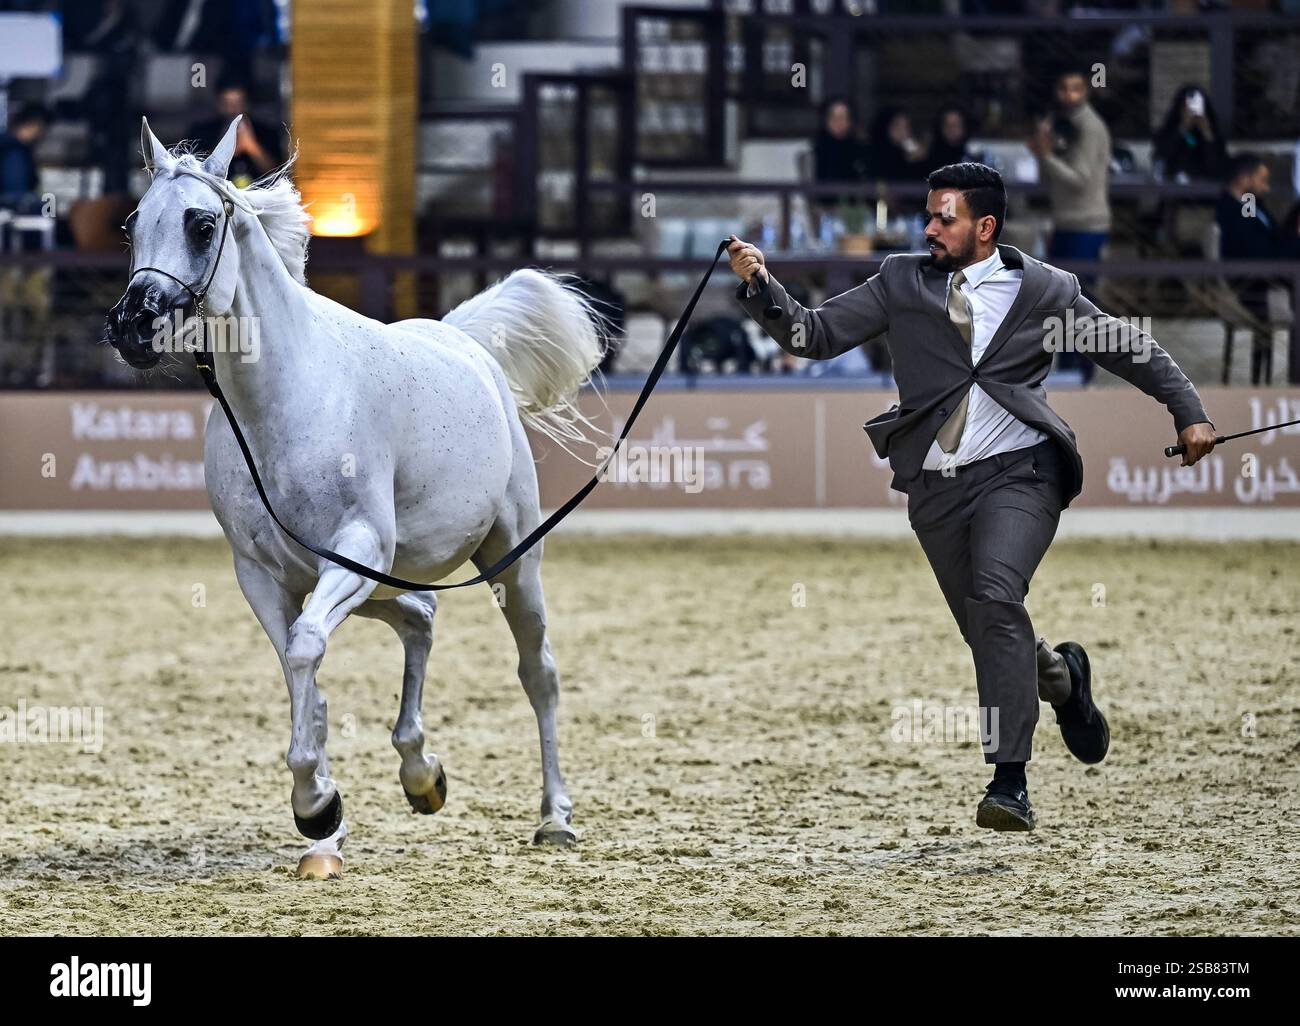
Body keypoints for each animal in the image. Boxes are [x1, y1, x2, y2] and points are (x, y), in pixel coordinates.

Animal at [104, 116, 603, 878]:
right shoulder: (265, 572)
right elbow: (299, 671)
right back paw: (421, 775)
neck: (287, 400)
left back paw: (555, 818)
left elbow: (307, 650)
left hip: (510, 561)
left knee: (536, 671)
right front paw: (323, 820)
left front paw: (316, 804)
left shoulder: (357, 543)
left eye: (200, 223)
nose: (133, 325)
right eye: (134, 223)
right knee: (420, 618)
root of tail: (465, 342)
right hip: (370, 578)